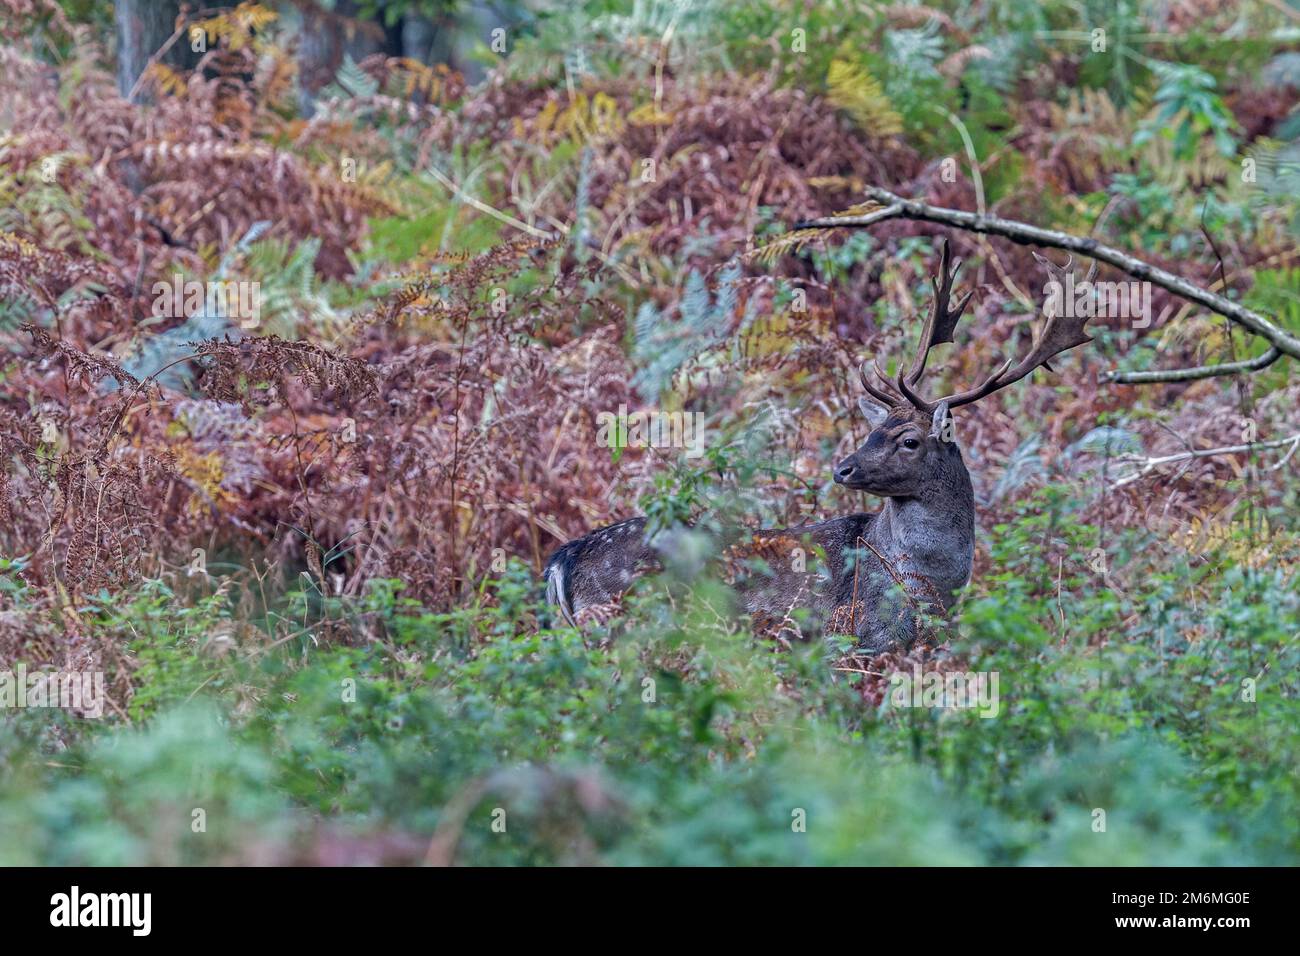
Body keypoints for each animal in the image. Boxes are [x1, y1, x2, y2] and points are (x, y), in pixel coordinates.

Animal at [544, 242, 1097, 651]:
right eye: (875, 431)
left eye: (908, 440)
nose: (843, 469)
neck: (935, 584)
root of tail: (561, 559)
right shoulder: (868, 637)